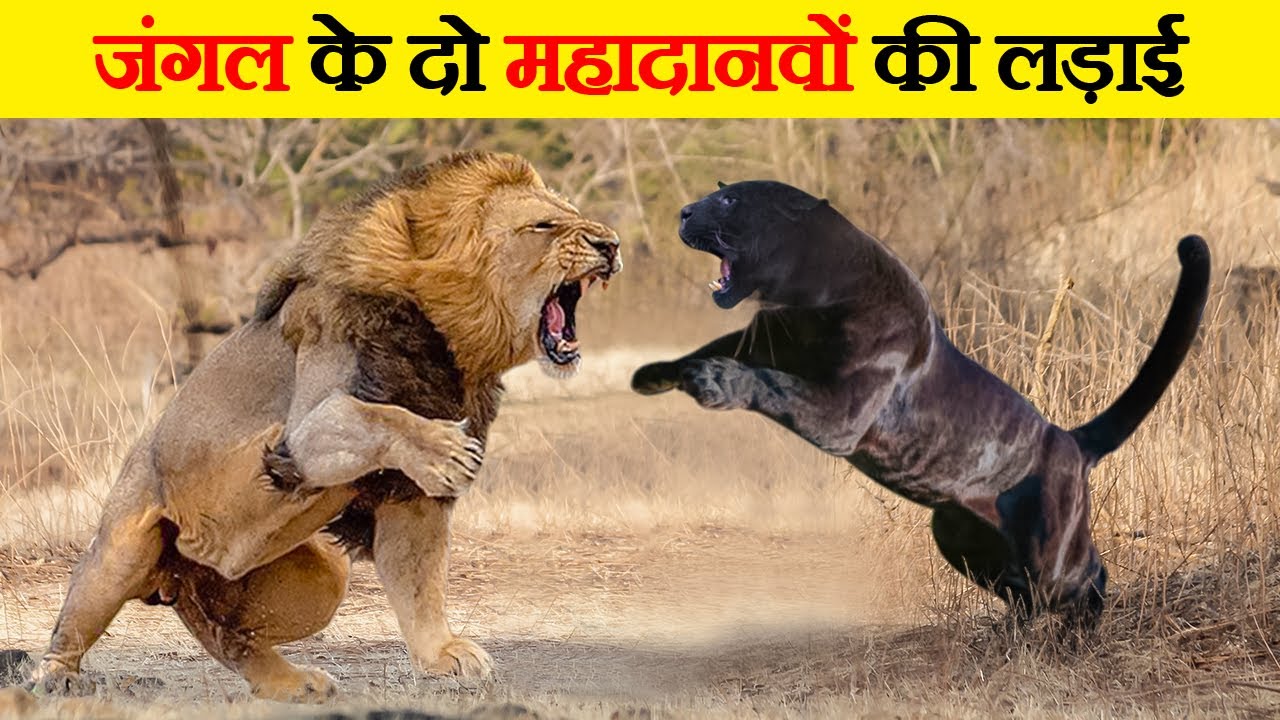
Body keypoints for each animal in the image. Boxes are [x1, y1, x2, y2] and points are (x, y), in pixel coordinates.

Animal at [28, 151, 622, 702]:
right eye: (544, 225)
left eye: (574, 214)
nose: (612, 244)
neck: (454, 346)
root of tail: (179, 577)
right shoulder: (303, 431)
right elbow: (377, 417)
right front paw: (444, 449)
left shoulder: (407, 498)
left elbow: (420, 583)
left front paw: (442, 655)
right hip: (120, 548)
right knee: (78, 620)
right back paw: (58, 678)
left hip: (323, 577)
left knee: (224, 632)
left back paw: (289, 681)